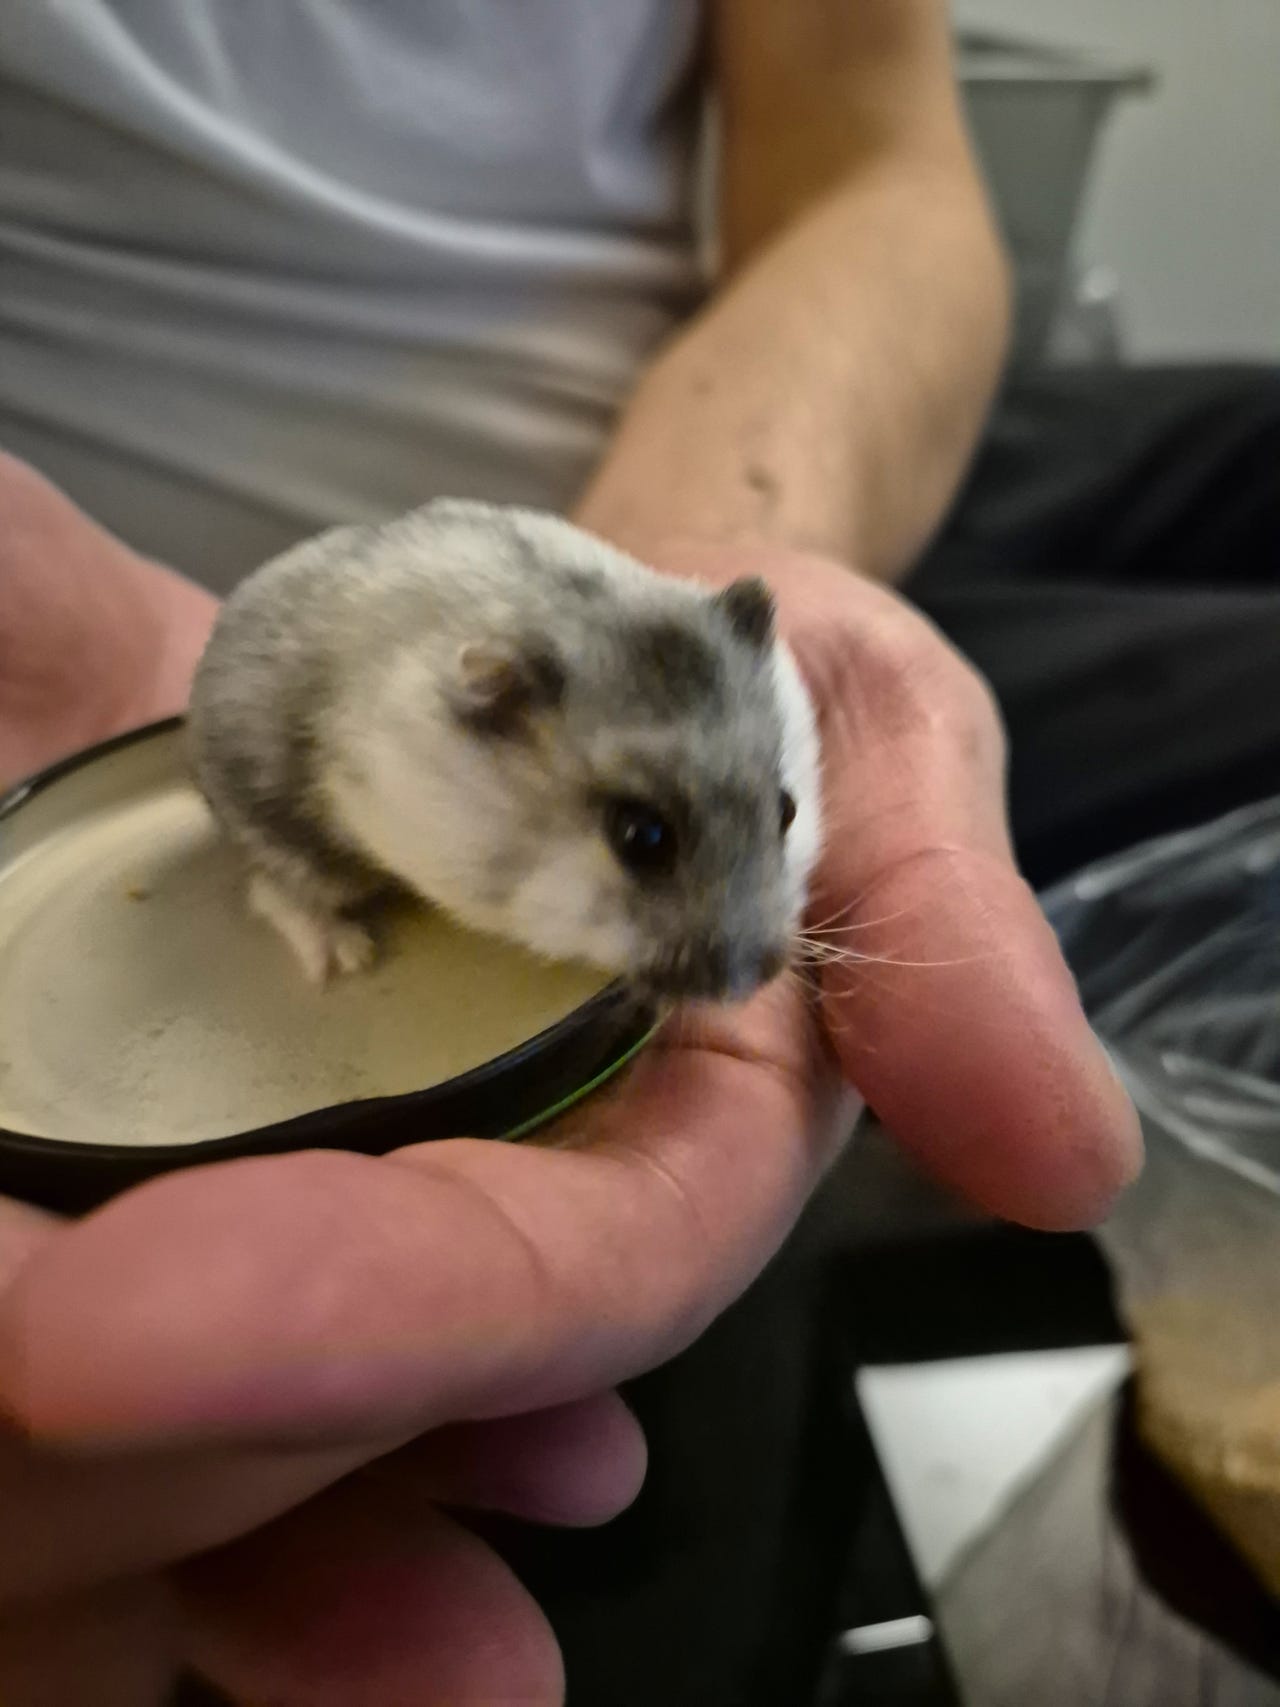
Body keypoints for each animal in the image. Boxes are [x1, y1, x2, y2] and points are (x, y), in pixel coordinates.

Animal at [188, 500, 822, 1002]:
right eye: (641, 837)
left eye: (787, 810)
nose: (753, 984)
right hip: (292, 842)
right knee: (271, 891)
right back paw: (345, 957)